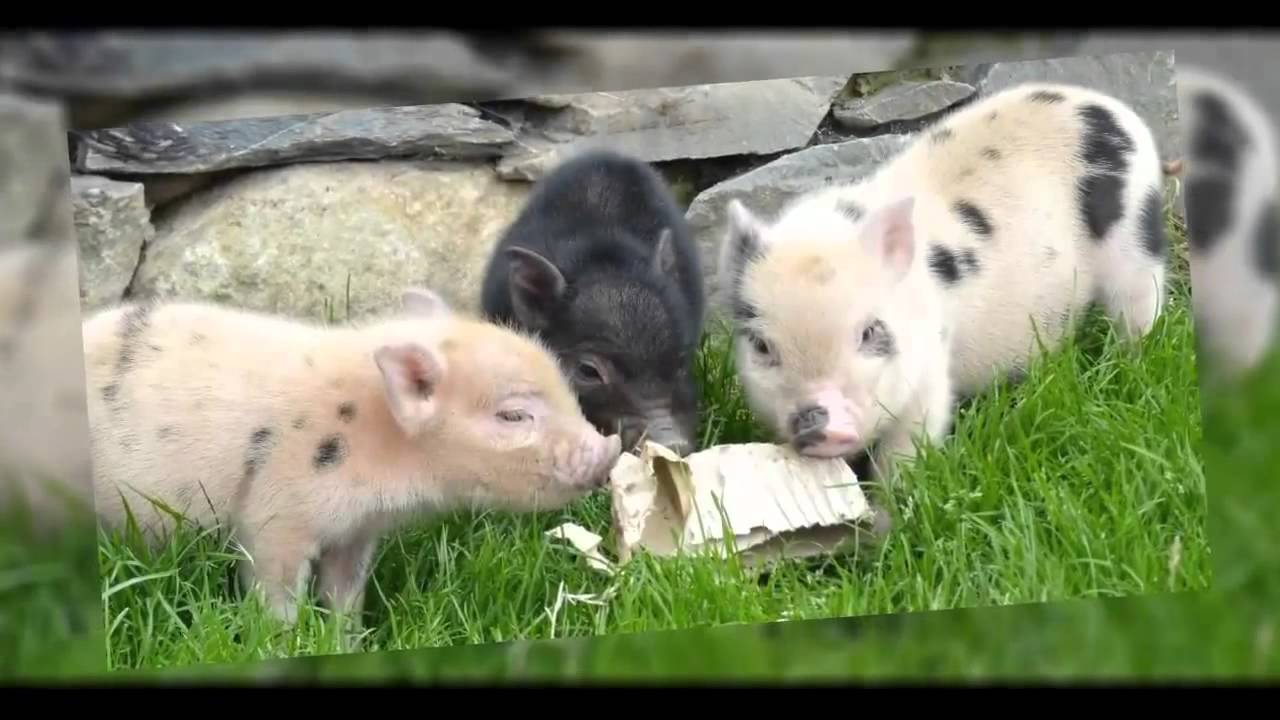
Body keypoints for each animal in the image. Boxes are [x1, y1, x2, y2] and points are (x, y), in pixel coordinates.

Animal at [82, 287, 622, 628]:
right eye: (513, 415)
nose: (609, 451)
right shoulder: (273, 518)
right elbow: (277, 593)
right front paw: (283, 640)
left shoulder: (355, 533)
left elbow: (345, 596)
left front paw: (348, 641)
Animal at [719, 82, 1171, 486]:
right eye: (761, 346)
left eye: (870, 332)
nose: (819, 420)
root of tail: (1106, 104)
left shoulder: (930, 372)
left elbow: (903, 458)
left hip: (1135, 241)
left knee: (1140, 305)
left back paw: (1129, 365)